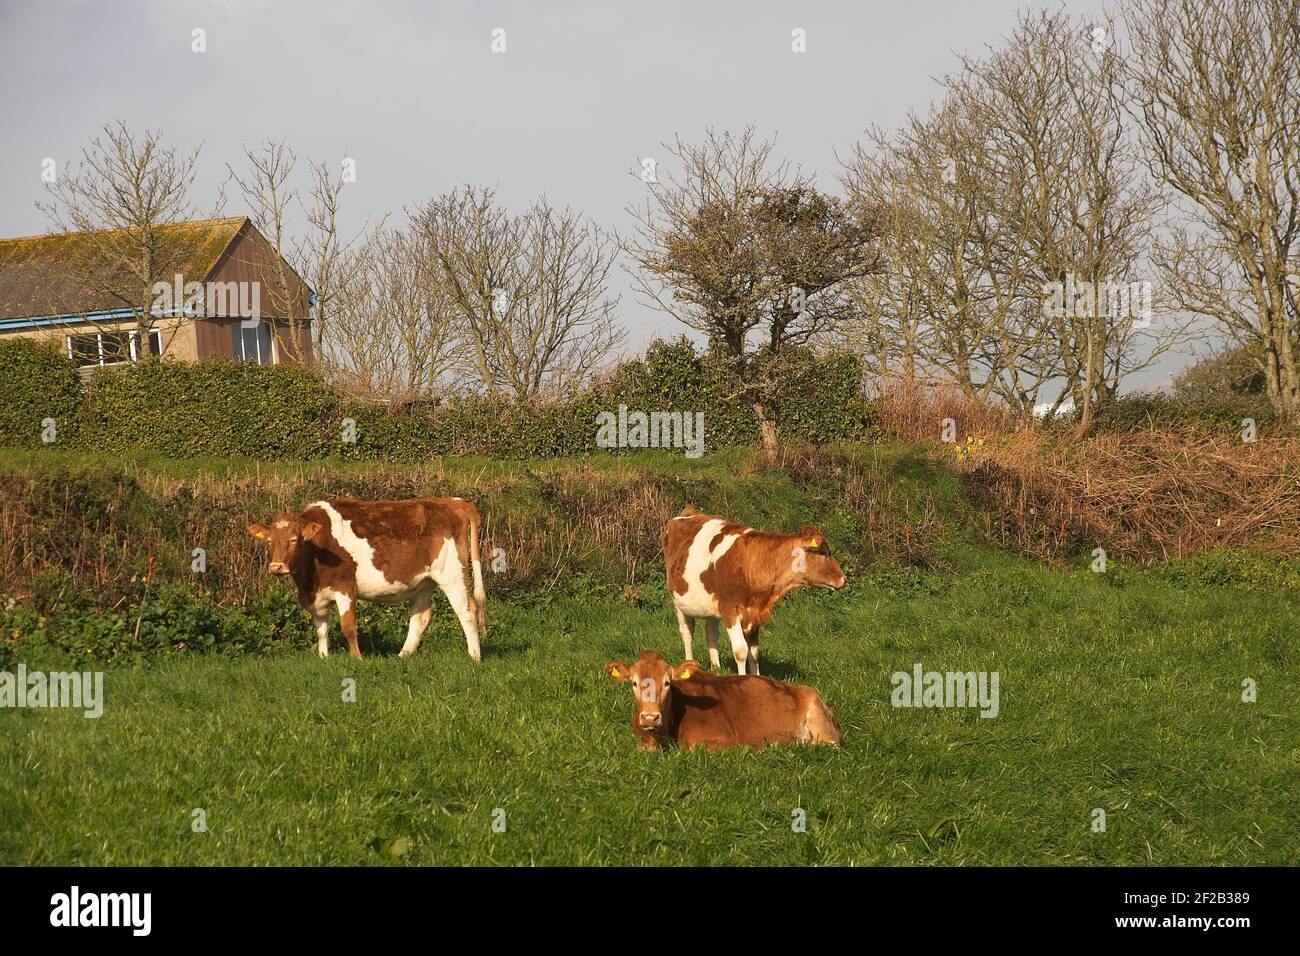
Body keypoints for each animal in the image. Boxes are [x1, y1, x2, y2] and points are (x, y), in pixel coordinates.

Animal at [247, 497, 486, 661]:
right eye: (270, 541)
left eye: (294, 540)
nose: (276, 567)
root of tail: (452, 501)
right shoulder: (317, 596)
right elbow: (321, 630)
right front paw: (324, 658)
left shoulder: (344, 588)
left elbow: (348, 627)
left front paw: (357, 659)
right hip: (423, 583)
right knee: (420, 618)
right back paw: (402, 656)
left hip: (452, 575)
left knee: (467, 611)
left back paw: (474, 656)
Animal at [661, 507, 847, 675]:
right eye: (822, 552)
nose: (843, 579)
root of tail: (689, 511)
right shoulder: (730, 610)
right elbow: (741, 651)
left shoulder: (753, 612)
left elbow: (755, 653)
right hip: (678, 600)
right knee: (687, 633)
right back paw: (689, 665)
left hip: (711, 604)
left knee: (711, 632)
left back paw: (716, 668)